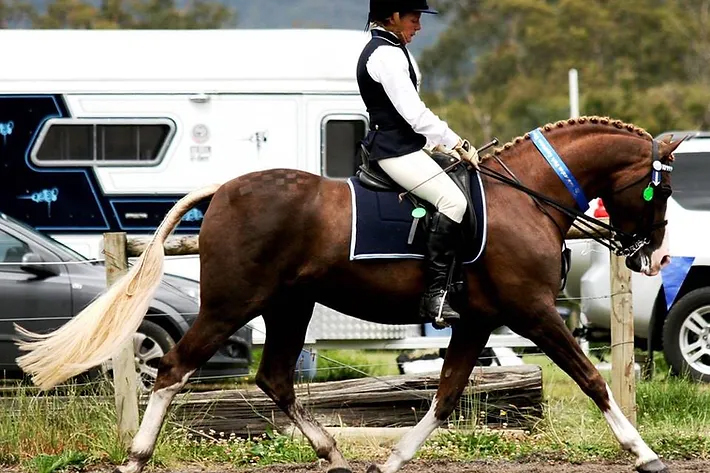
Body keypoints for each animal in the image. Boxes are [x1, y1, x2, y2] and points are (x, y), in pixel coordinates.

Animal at [15, 116, 683, 473]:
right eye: (662, 192)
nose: (654, 258)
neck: (529, 198)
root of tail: (223, 188)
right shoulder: (534, 312)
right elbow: (592, 379)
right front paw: (644, 452)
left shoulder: (476, 321)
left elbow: (445, 395)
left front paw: (392, 460)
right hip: (232, 305)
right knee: (176, 368)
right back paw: (137, 455)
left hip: (290, 306)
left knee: (275, 378)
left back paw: (331, 452)